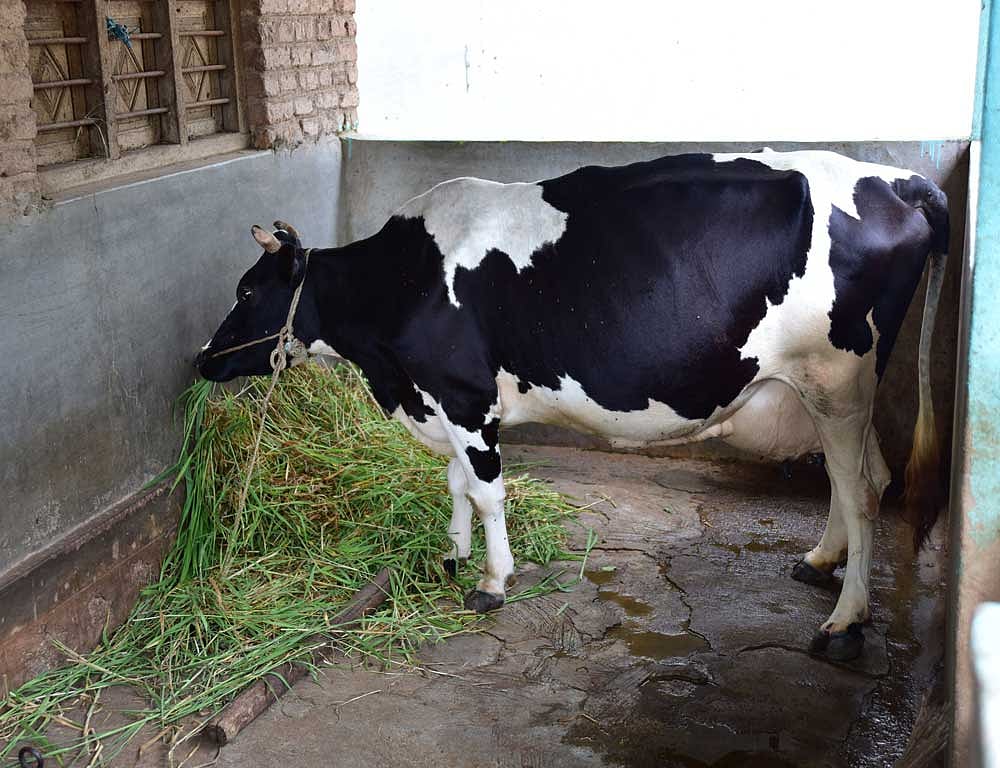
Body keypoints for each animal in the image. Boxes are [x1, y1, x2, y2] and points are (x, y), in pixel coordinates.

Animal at [194, 149, 949, 662]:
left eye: (246, 290)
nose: (201, 361)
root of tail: (894, 178)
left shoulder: (465, 397)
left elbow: (487, 491)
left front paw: (493, 580)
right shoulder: (441, 398)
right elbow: (455, 482)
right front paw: (452, 554)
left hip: (838, 379)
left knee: (859, 490)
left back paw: (846, 620)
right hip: (843, 391)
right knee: (864, 477)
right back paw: (820, 562)